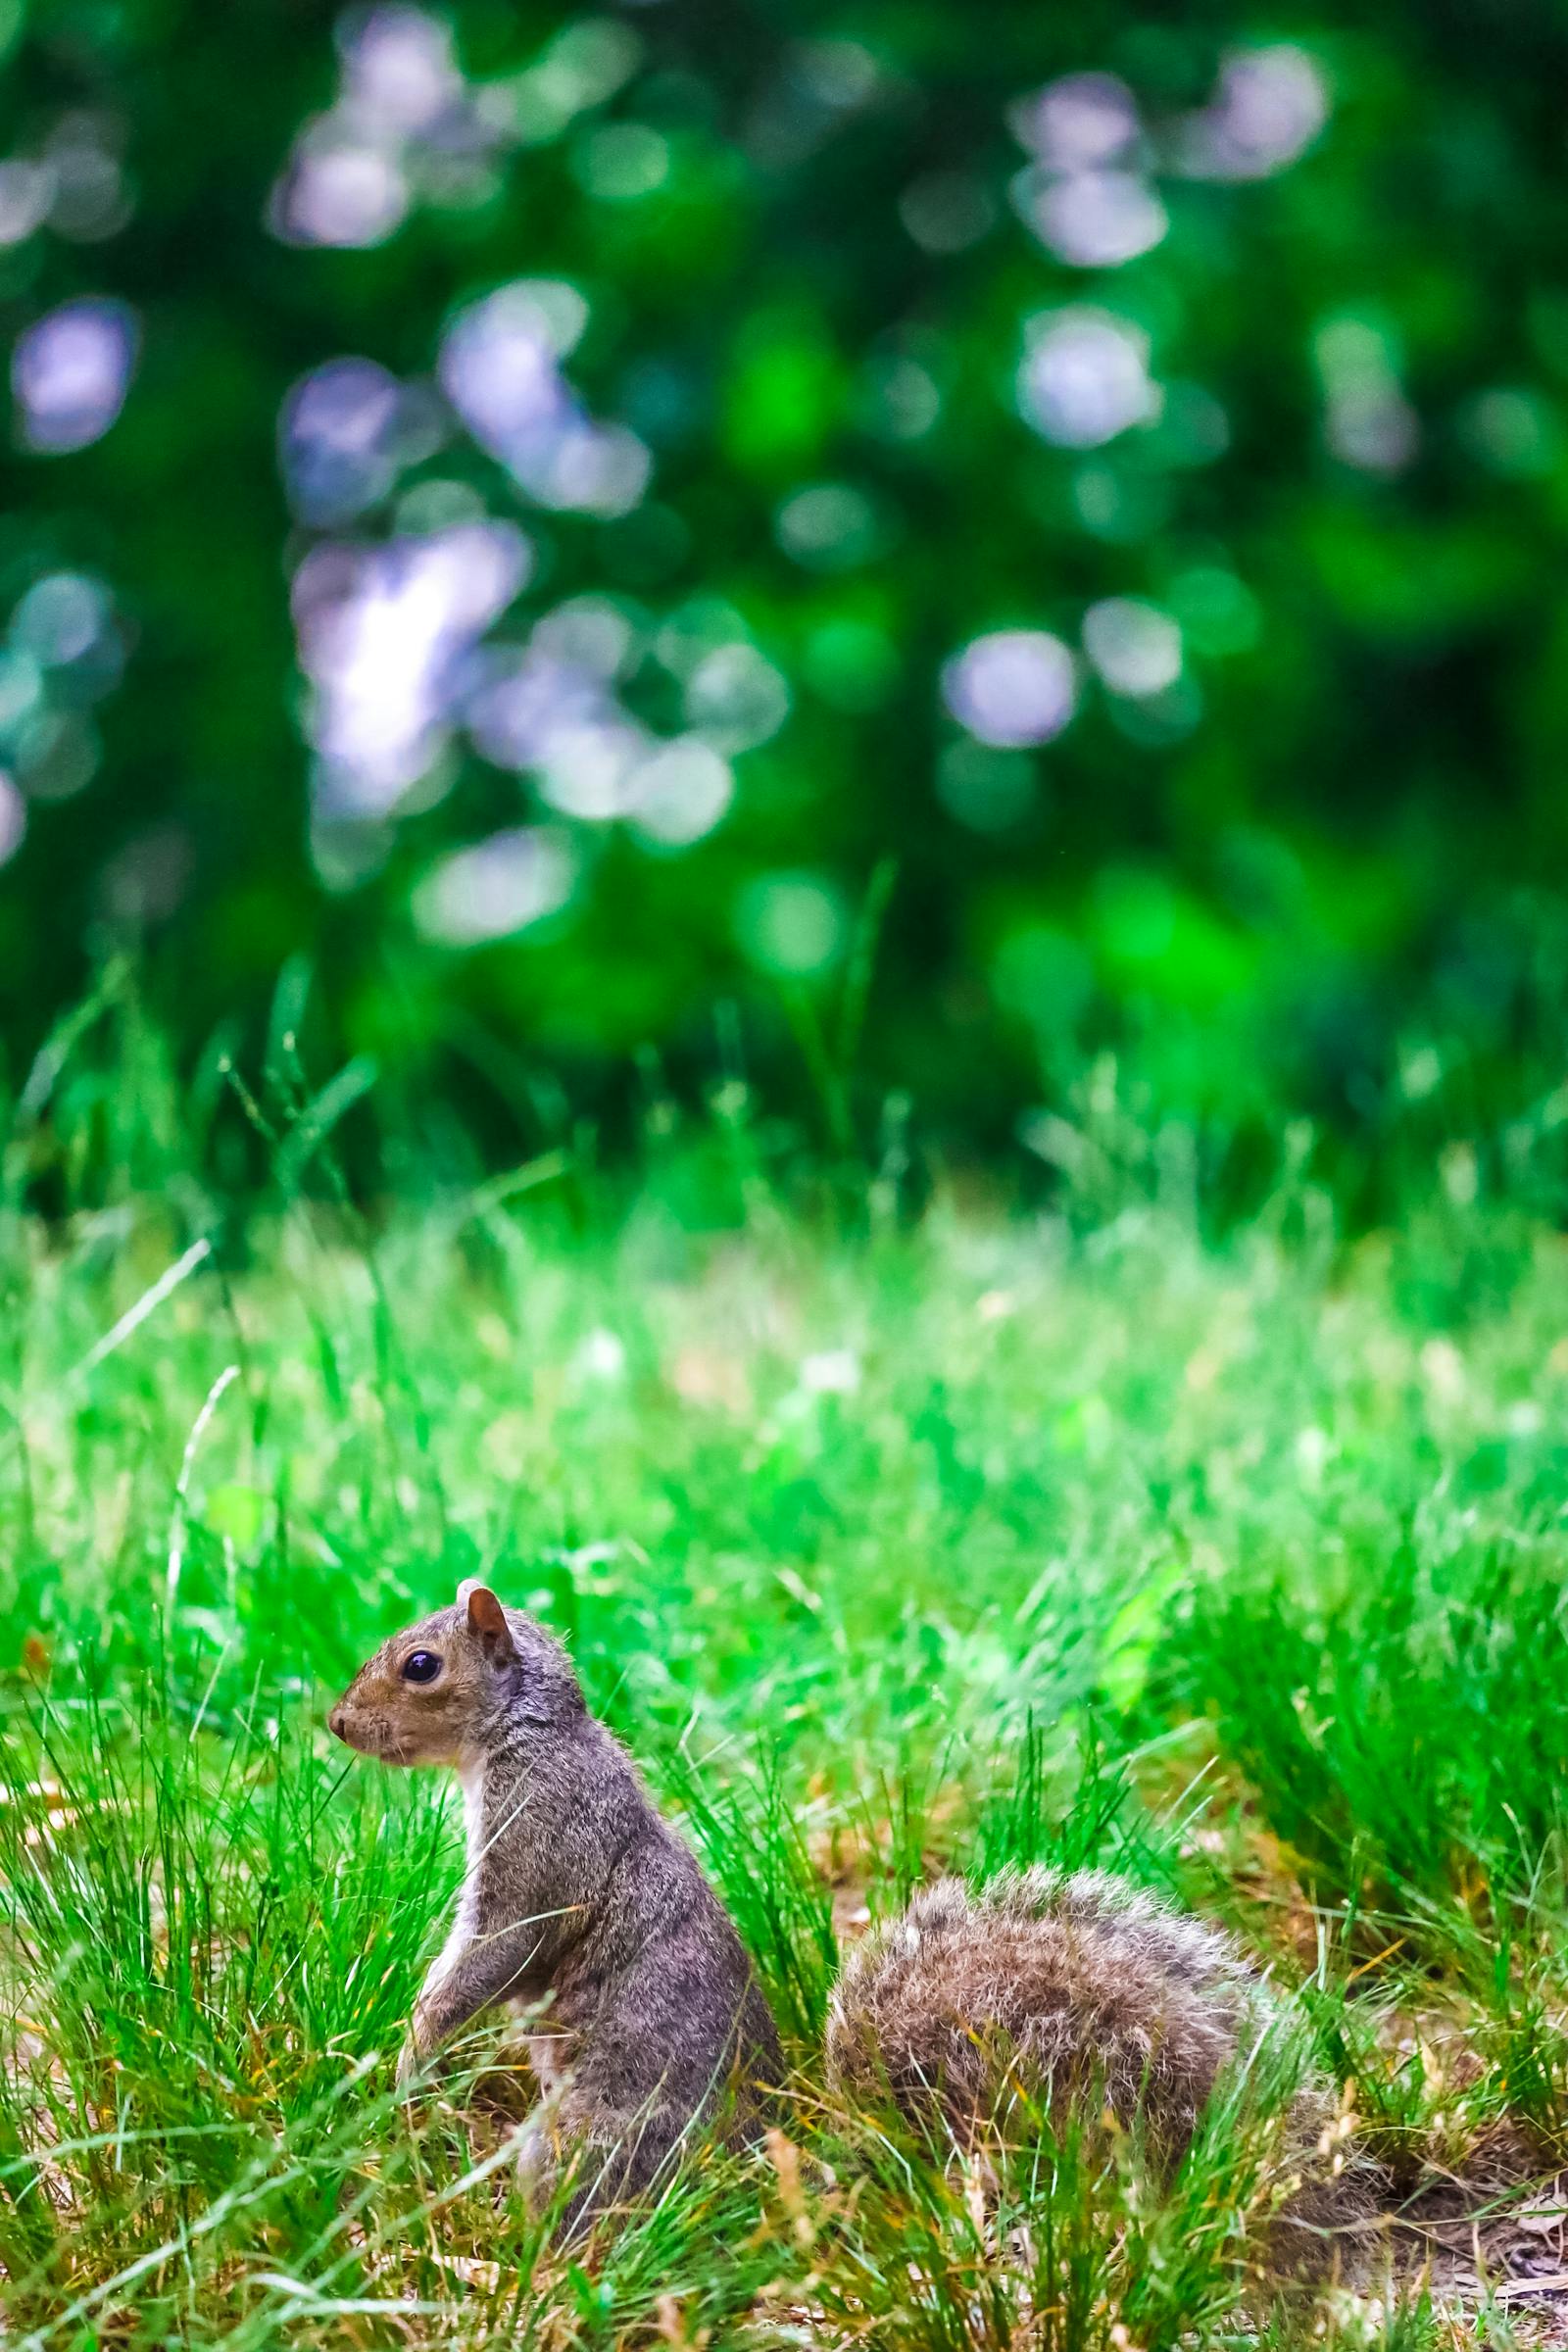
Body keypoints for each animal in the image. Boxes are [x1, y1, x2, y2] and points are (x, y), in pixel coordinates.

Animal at [331, 1585, 1370, 2263]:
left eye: (420, 1666)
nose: (337, 1724)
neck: (525, 1738)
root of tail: (770, 2169)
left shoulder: (543, 1848)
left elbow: (496, 1954)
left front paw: (409, 2057)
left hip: (591, 2139)